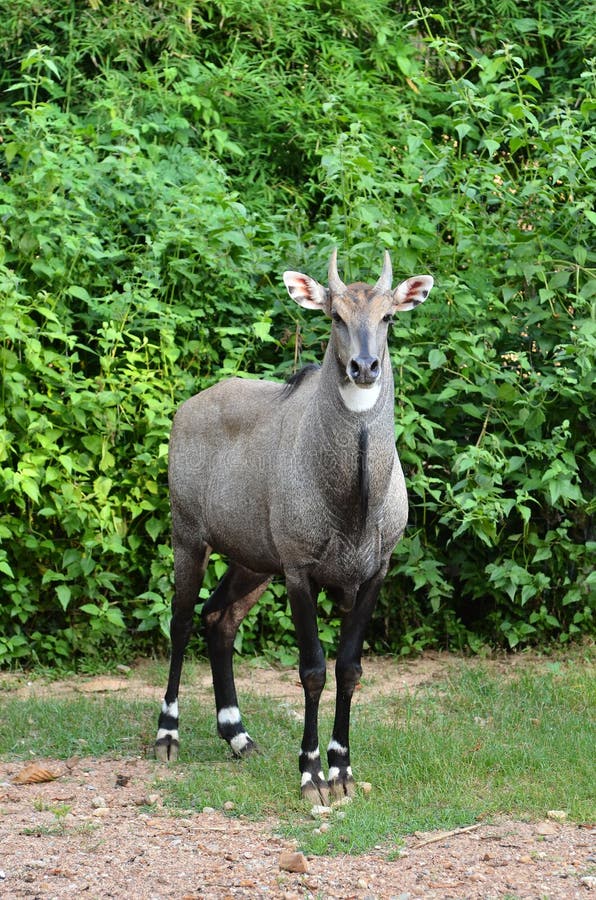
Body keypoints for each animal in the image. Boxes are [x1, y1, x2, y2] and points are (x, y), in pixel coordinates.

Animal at [155, 250, 433, 803]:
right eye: (335, 316)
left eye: (389, 317)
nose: (364, 367)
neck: (354, 496)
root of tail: (187, 407)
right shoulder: (300, 571)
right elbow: (312, 670)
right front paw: (310, 774)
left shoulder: (374, 572)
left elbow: (348, 668)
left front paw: (342, 768)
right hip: (189, 537)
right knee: (181, 620)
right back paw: (167, 734)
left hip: (252, 562)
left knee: (219, 619)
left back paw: (238, 735)